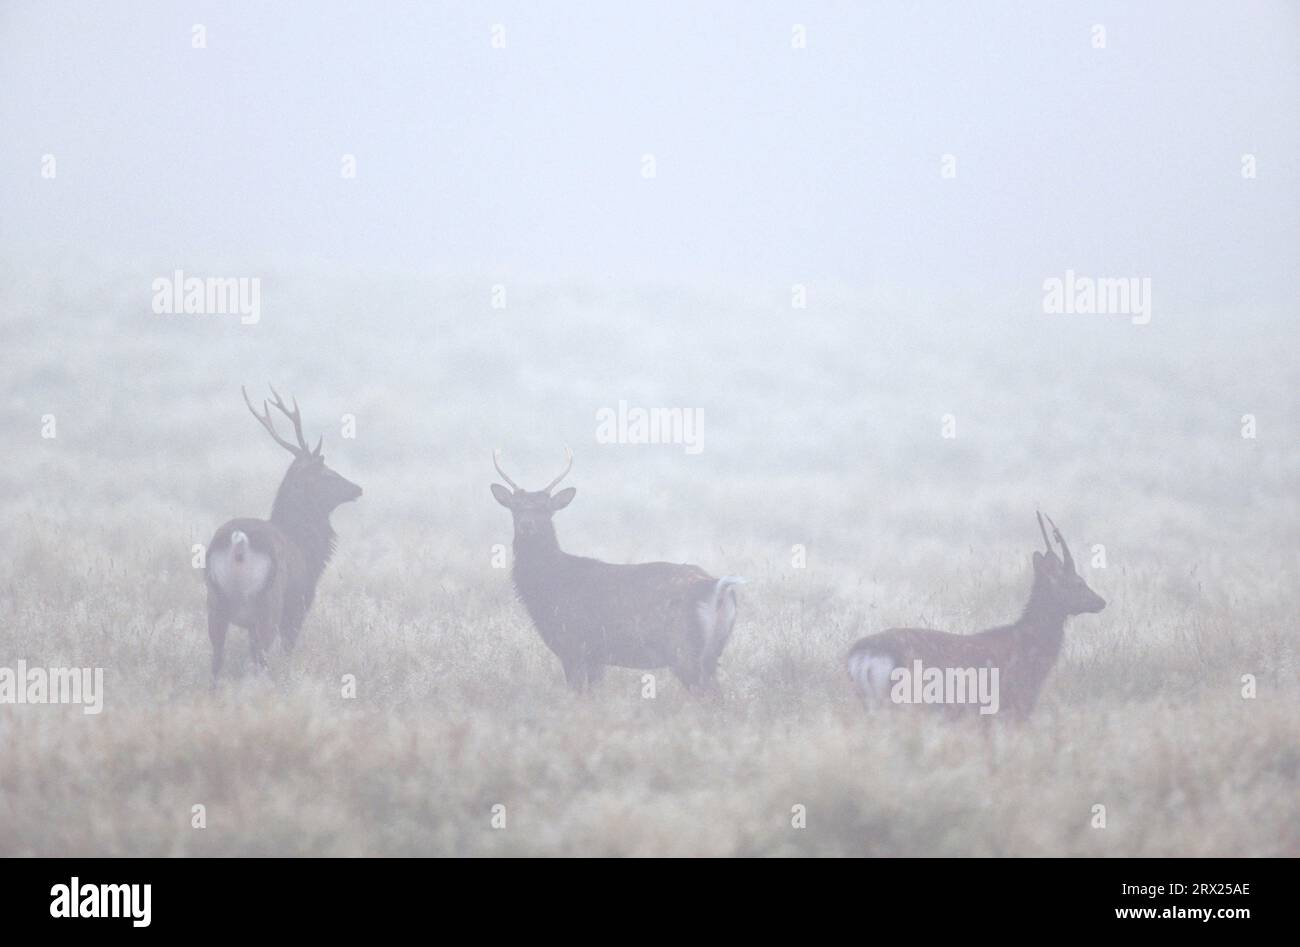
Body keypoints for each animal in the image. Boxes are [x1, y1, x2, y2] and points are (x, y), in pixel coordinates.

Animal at [204, 387, 362, 684]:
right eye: (328, 474)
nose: (357, 488)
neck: (306, 547)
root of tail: (239, 542)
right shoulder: (299, 606)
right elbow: (287, 654)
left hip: (214, 603)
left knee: (217, 661)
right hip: (268, 604)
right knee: (260, 661)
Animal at [490, 449, 744, 693]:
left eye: (546, 509)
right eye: (515, 507)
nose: (527, 524)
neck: (548, 590)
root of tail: (716, 586)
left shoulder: (573, 645)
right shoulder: (596, 657)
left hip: (683, 648)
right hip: (711, 651)